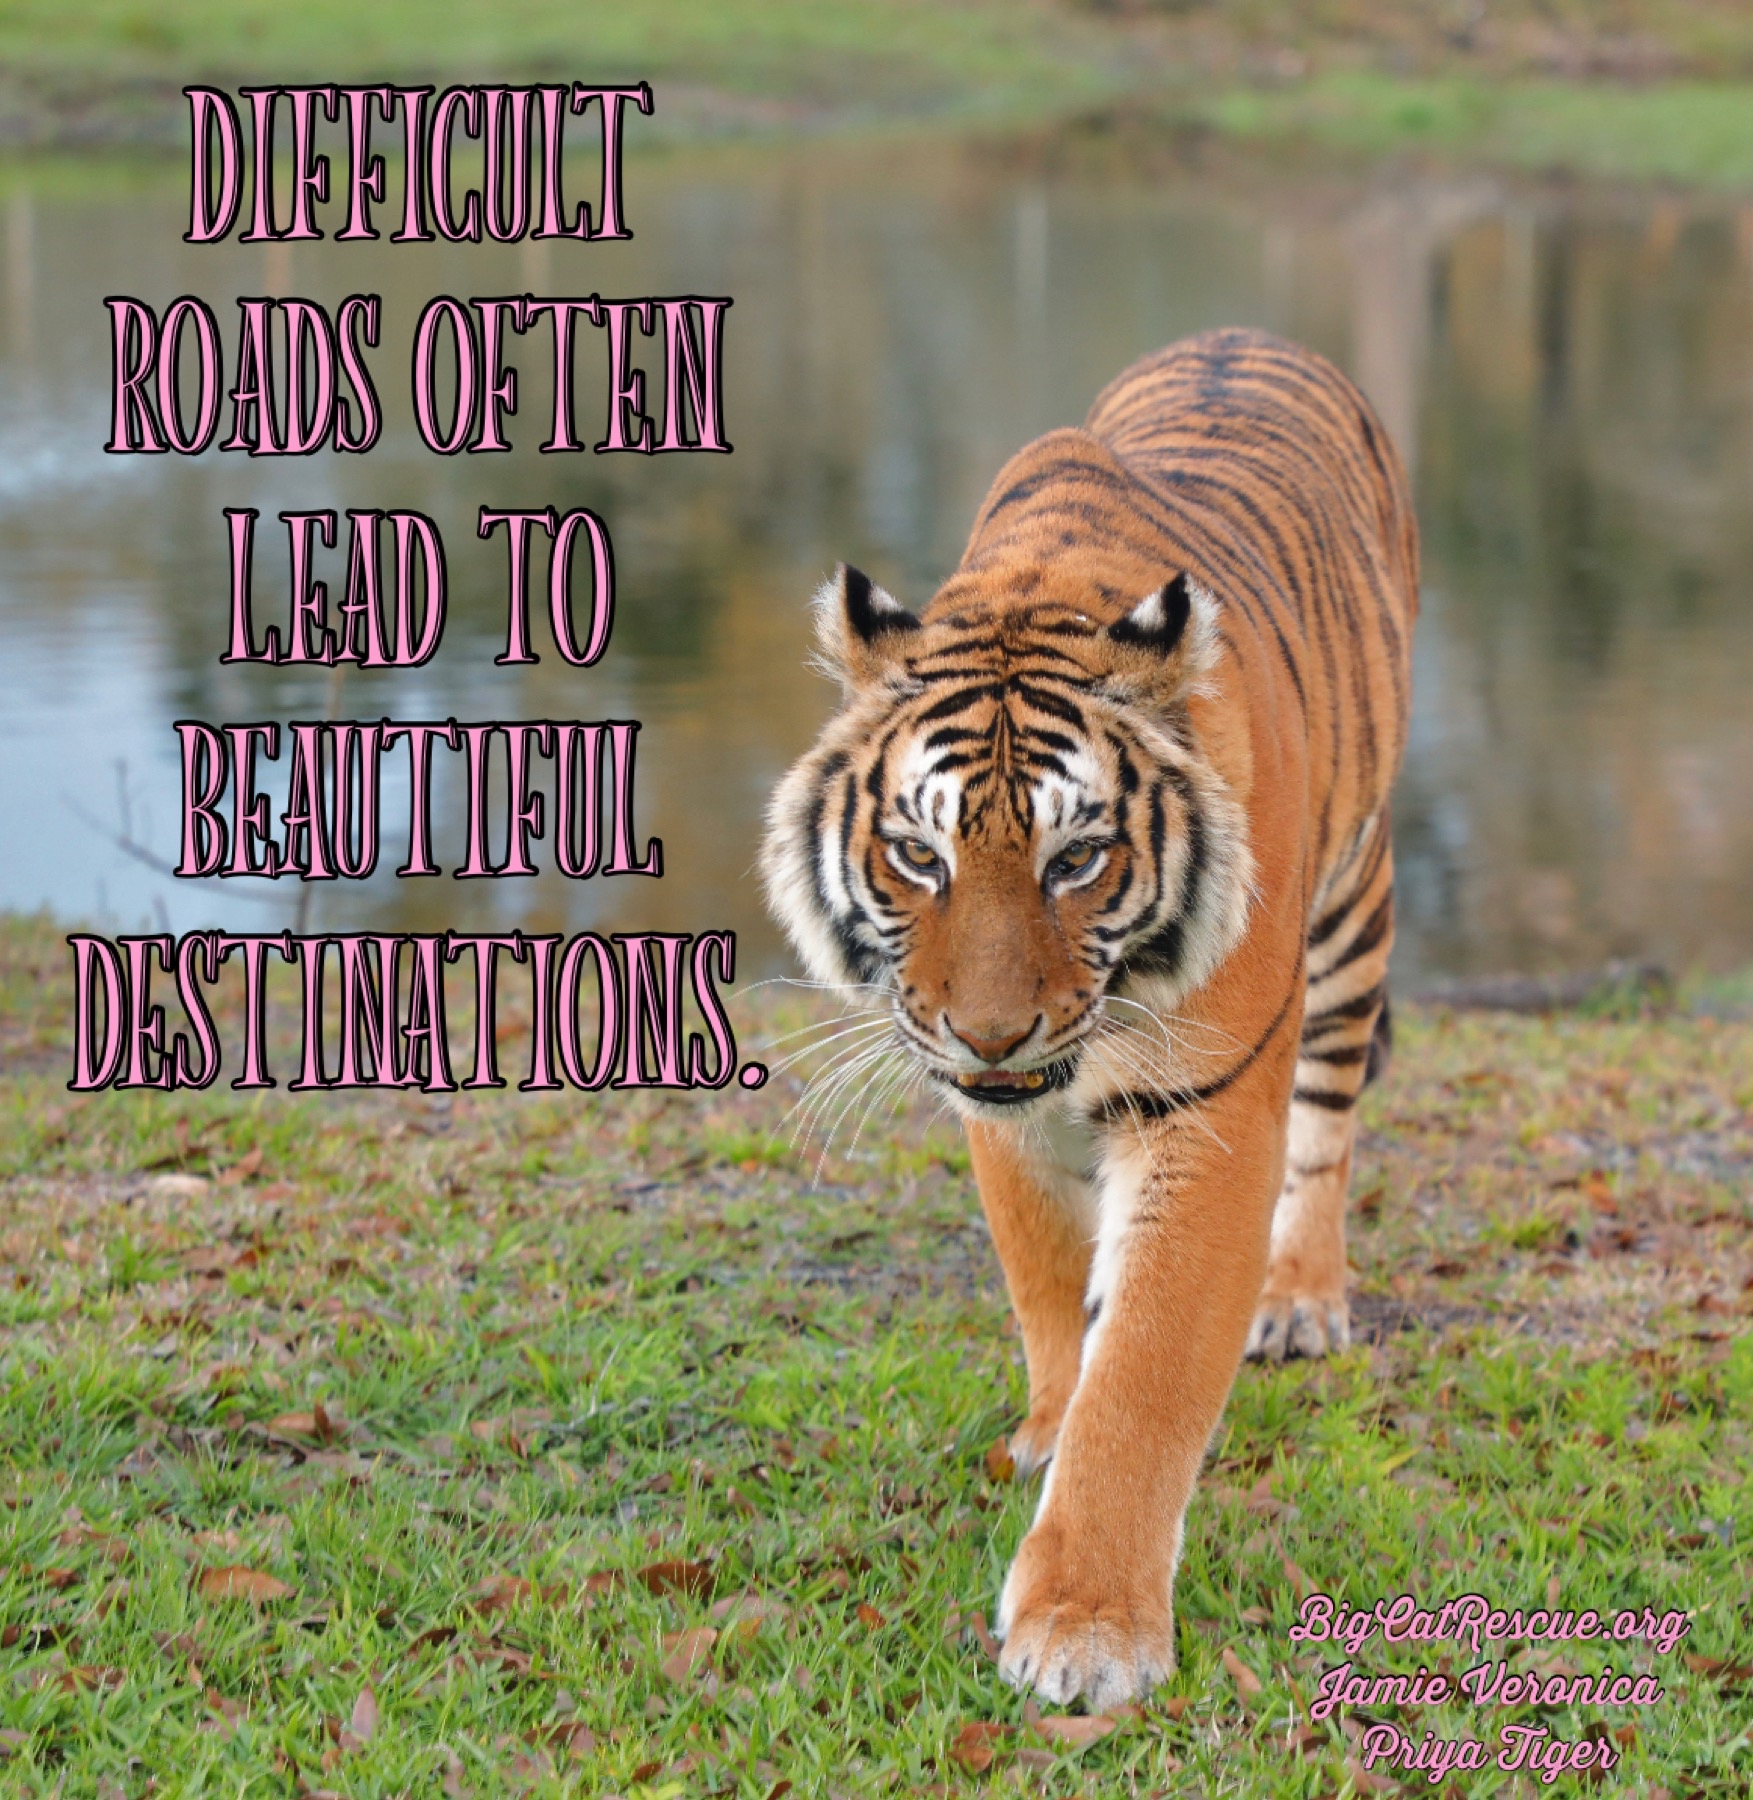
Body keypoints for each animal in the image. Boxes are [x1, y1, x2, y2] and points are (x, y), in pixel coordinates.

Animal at [762, 327, 1416, 1708]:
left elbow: (1149, 1365)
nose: (990, 1035)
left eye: (1077, 860)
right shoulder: (1005, 1121)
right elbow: (1054, 1290)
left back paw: (1300, 1298)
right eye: (919, 854)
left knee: (1329, 1126)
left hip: (1352, 912)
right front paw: (1049, 1431)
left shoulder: (1208, 1106)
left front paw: (1085, 1625)